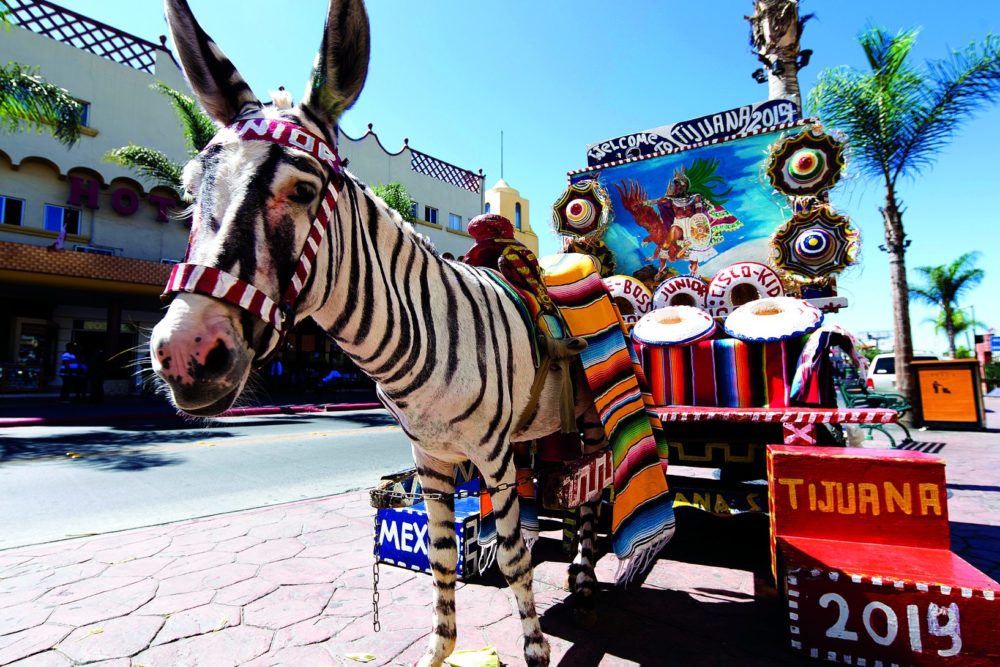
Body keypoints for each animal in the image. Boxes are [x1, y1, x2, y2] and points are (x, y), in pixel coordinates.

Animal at [150, 1, 609, 665]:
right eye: (190, 191)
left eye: (304, 190)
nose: (185, 352)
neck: (428, 333)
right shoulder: (433, 459)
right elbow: (443, 559)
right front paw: (440, 650)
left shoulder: (493, 456)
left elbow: (516, 559)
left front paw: (535, 651)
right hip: (546, 430)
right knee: (569, 490)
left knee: (597, 490)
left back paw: (586, 575)